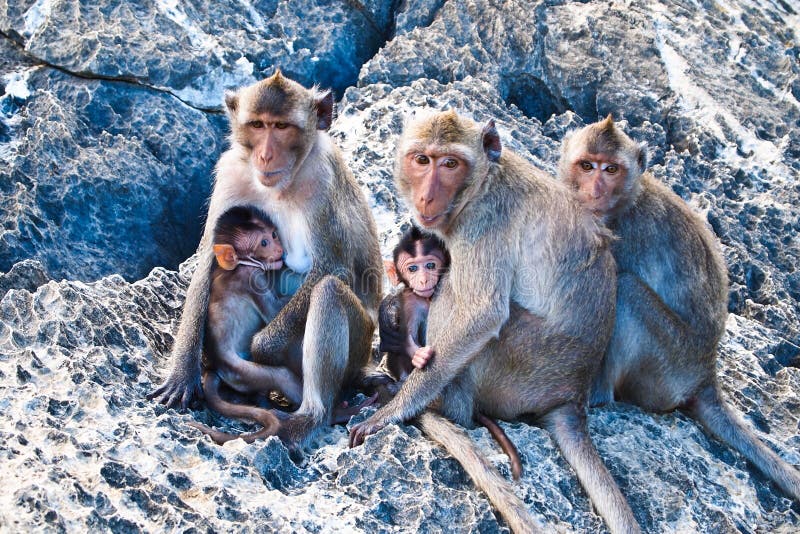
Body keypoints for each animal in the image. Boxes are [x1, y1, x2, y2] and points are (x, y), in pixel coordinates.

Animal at [149, 71, 383, 447]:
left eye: (282, 126)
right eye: (258, 125)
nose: (266, 155)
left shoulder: (323, 179)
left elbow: (332, 266)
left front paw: (263, 347)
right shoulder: (230, 173)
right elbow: (206, 264)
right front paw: (182, 375)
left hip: (359, 345)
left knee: (329, 291)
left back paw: (308, 418)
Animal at [559, 115, 800, 502]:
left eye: (611, 169)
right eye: (587, 165)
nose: (595, 189)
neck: (627, 200)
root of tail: (705, 373)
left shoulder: (620, 235)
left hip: (670, 364)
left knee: (626, 291)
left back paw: (598, 393)